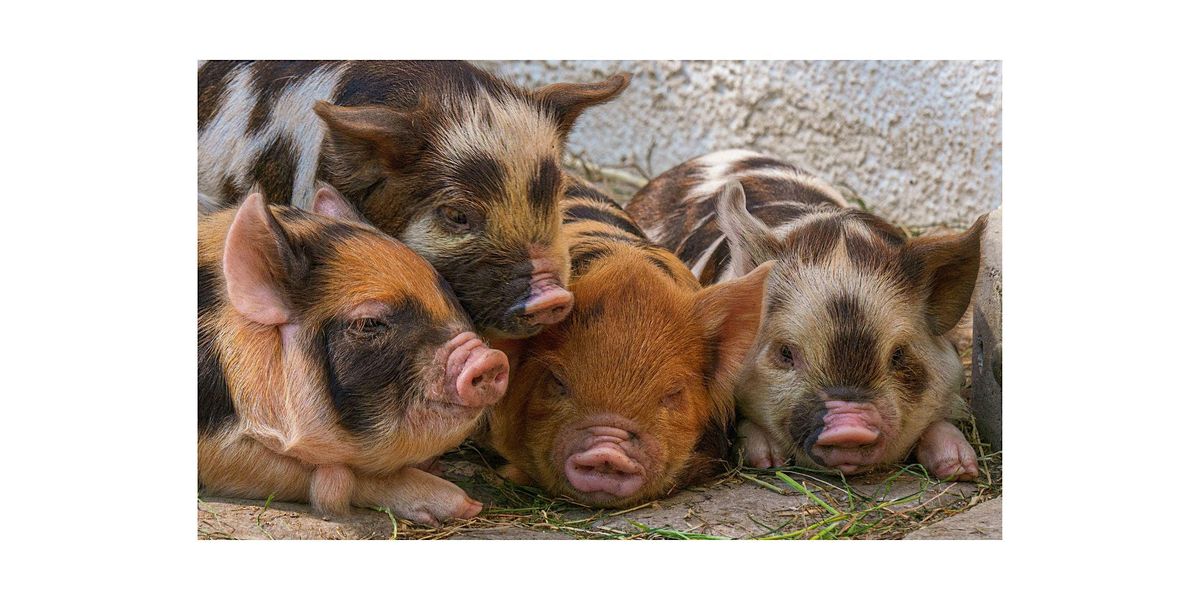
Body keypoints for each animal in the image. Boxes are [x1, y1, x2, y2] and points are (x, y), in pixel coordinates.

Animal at [198, 185, 509, 525]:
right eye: (368, 323)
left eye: (451, 296)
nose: (489, 359)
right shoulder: (214, 450)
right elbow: (332, 474)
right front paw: (465, 504)